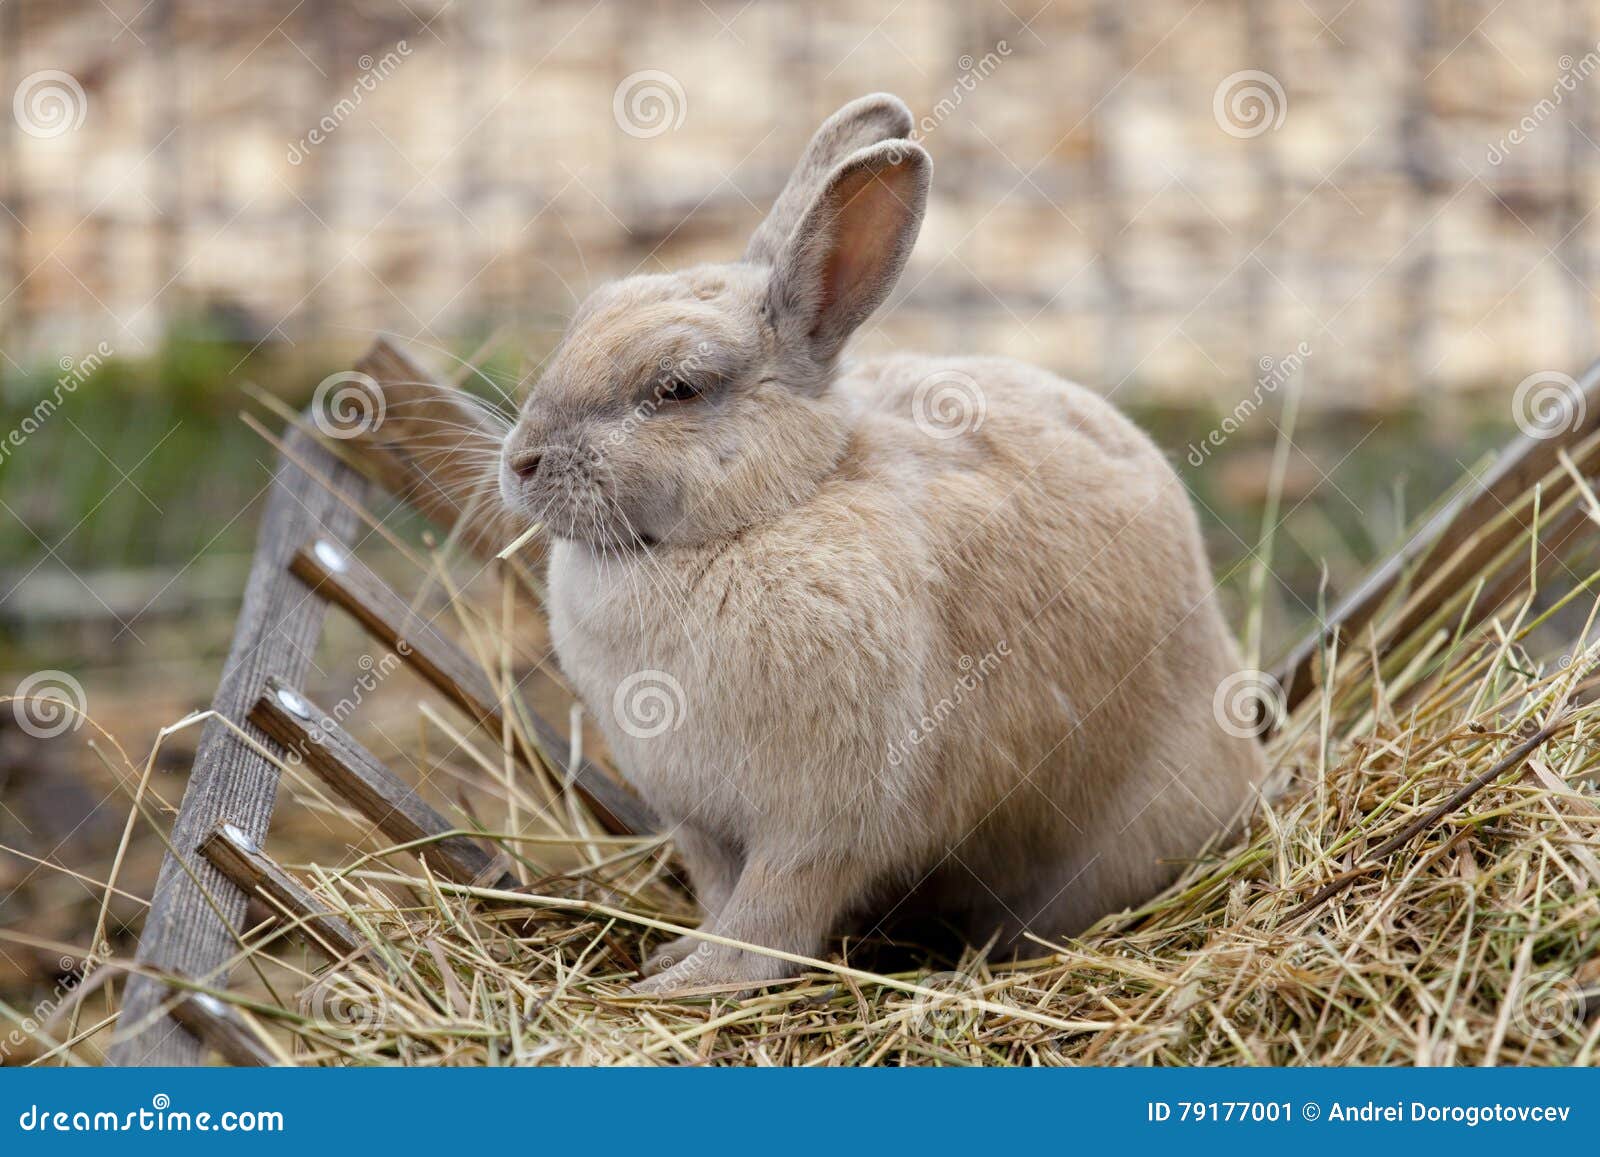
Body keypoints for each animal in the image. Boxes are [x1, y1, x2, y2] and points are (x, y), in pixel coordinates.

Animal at [498, 93, 1267, 994]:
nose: (520, 461)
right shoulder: (700, 824)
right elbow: (721, 896)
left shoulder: (819, 824)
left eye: (677, 388)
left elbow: (768, 918)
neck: (768, 510)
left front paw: (690, 984)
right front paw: (675, 956)